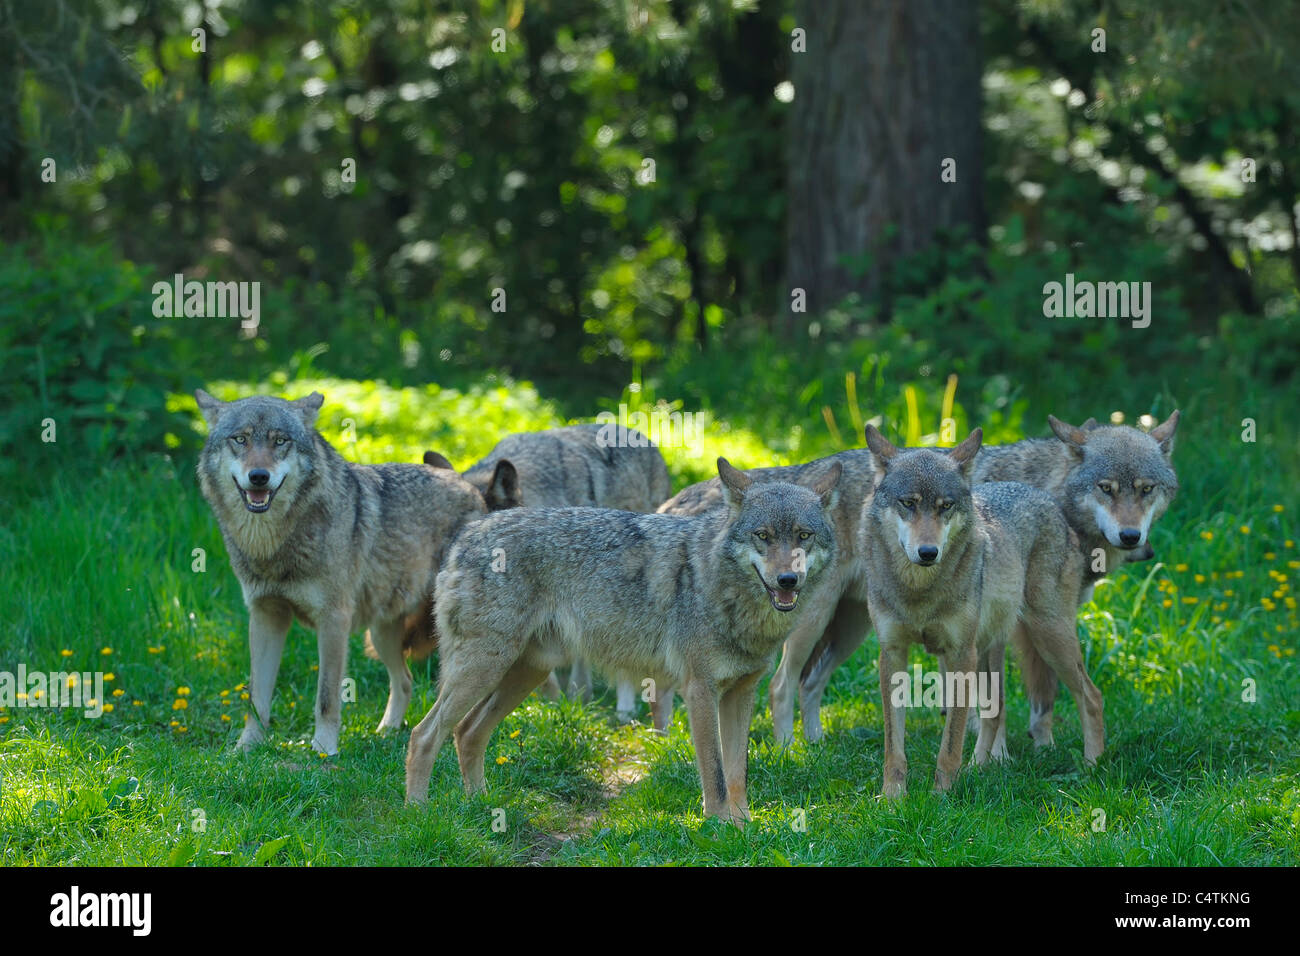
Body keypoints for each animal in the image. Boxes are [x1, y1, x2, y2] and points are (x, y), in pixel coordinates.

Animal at [194, 389, 486, 755]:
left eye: (280, 441)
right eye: (240, 439)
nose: (259, 476)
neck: (275, 546)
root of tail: (464, 482)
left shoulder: (333, 620)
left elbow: (327, 696)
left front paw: (324, 748)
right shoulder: (265, 616)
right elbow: (256, 696)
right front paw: (246, 748)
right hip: (381, 635)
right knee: (405, 681)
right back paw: (386, 732)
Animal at [405, 458, 843, 822]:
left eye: (803, 536)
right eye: (762, 536)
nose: (788, 580)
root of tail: (469, 533)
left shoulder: (741, 692)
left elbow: (738, 774)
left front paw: (745, 827)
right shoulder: (700, 691)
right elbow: (716, 776)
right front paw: (720, 829)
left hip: (524, 673)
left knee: (467, 733)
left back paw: (478, 804)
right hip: (486, 669)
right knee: (423, 735)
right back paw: (419, 814)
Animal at [860, 426, 1103, 798]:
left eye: (945, 506)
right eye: (908, 503)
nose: (928, 552)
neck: (919, 592)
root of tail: (1046, 499)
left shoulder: (960, 653)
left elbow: (950, 744)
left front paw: (941, 798)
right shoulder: (893, 654)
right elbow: (894, 746)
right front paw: (892, 798)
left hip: (1048, 639)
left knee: (1092, 696)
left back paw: (1091, 768)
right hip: (990, 651)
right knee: (997, 711)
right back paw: (979, 768)